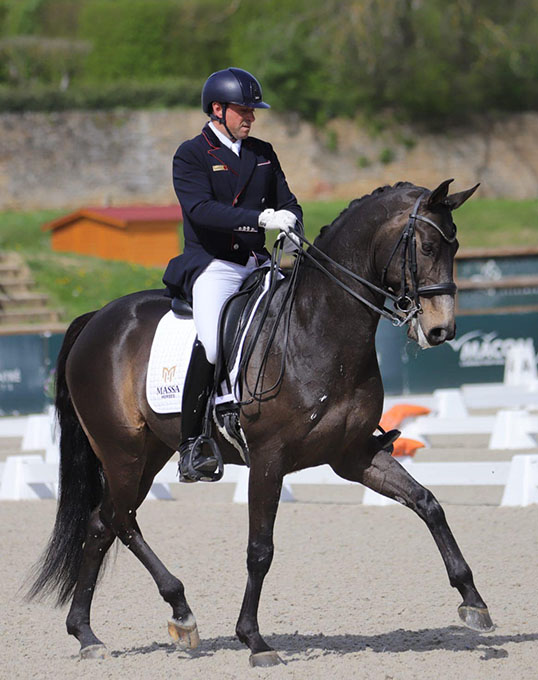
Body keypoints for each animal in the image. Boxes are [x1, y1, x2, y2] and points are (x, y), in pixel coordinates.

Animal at [28, 179, 494, 667]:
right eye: (426, 247)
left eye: (455, 245)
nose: (441, 330)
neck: (317, 327)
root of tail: (96, 319)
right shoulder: (269, 460)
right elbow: (260, 550)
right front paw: (254, 640)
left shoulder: (354, 455)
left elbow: (428, 503)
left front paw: (473, 600)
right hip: (122, 452)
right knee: (121, 520)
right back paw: (179, 610)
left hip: (150, 453)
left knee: (102, 523)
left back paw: (88, 633)